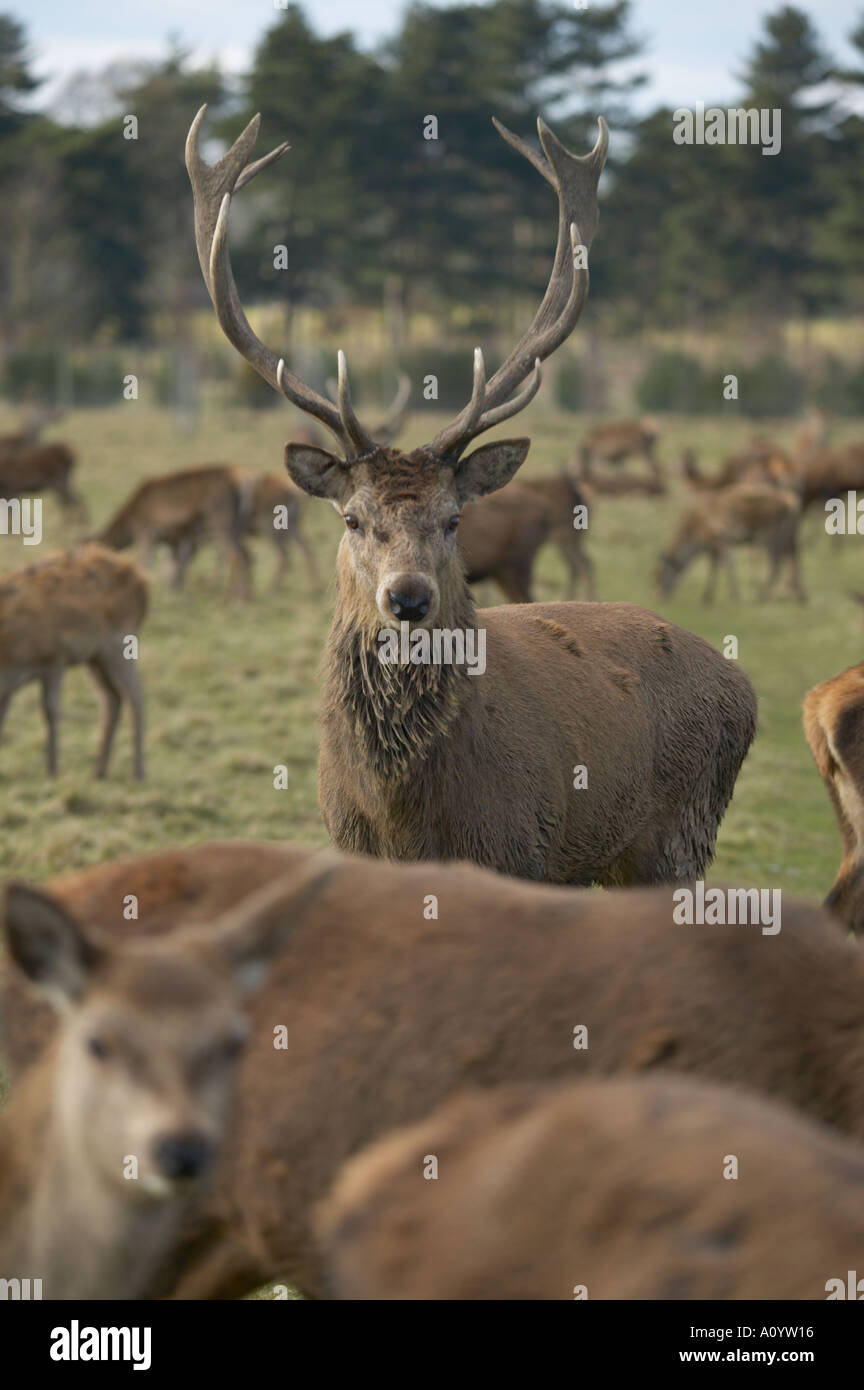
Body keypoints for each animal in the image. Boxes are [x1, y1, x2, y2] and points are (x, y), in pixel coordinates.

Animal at [0, 544, 147, 778]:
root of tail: (143, 583)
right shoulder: (11, 683)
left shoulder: (55, 657)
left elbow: (50, 709)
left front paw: (52, 770)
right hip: (95, 657)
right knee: (112, 697)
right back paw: (99, 770)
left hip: (121, 643)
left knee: (135, 694)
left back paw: (138, 772)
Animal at [96, 464, 252, 599]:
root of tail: (242, 483)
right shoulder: (171, 539)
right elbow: (173, 566)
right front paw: (173, 592)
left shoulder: (146, 531)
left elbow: (147, 562)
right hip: (236, 527)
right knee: (246, 554)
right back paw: (244, 597)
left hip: (219, 521)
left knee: (235, 556)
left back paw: (235, 599)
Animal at [186, 105, 756, 885]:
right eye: (353, 518)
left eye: (455, 518)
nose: (409, 598)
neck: (402, 817)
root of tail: (745, 690)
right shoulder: (347, 846)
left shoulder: (515, 852)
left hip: (679, 836)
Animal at [656, 481, 806, 604]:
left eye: (661, 574)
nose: (659, 597)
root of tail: (790, 501)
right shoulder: (714, 548)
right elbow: (715, 566)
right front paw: (707, 597)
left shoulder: (720, 540)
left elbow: (727, 564)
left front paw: (734, 596)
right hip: (784, 538)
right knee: (788, 558)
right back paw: (798, 596)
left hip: (767, 536)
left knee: (776, 563)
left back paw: (762, 596)